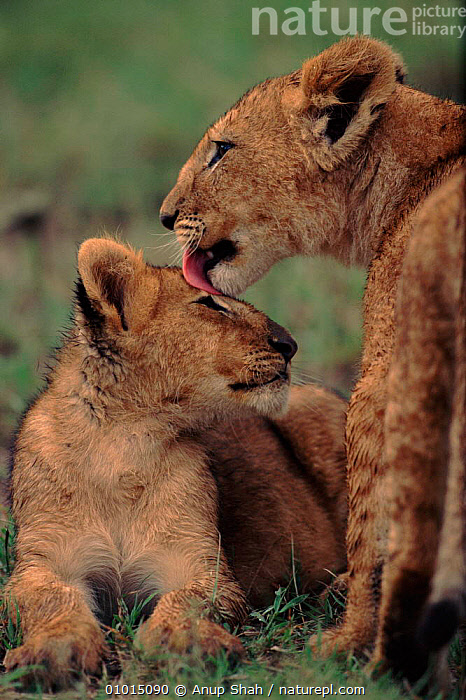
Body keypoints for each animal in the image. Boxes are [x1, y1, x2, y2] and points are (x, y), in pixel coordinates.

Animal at [5, 238, 348, 688]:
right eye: (211, 304)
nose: (289, 344)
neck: (126, 442)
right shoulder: (43, 561)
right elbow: (51, 598)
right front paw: (52, 652)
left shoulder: (201, 564)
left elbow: (191, 598)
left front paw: (184, 642)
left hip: (319, 411)